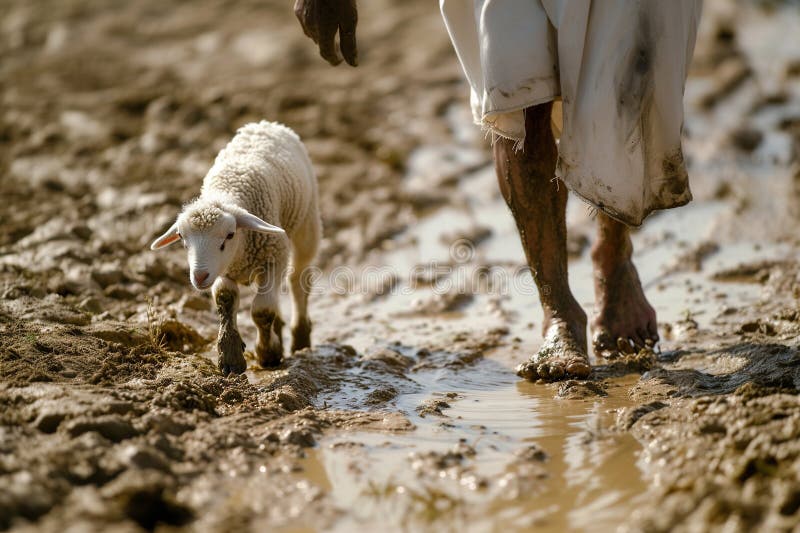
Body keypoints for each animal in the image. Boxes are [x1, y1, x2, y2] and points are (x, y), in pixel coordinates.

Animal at [150, 121, 321, 375]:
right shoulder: (223, 271)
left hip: (306, 225)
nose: (199, 276)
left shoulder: (273, 259)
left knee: (298, 280)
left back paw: (300, 338)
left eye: (229, 235)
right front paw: (230, 357)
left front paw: (268, 354)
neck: (228, 188)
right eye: (181, 237)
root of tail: (264, 124)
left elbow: (262, 311)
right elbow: (225, 300)